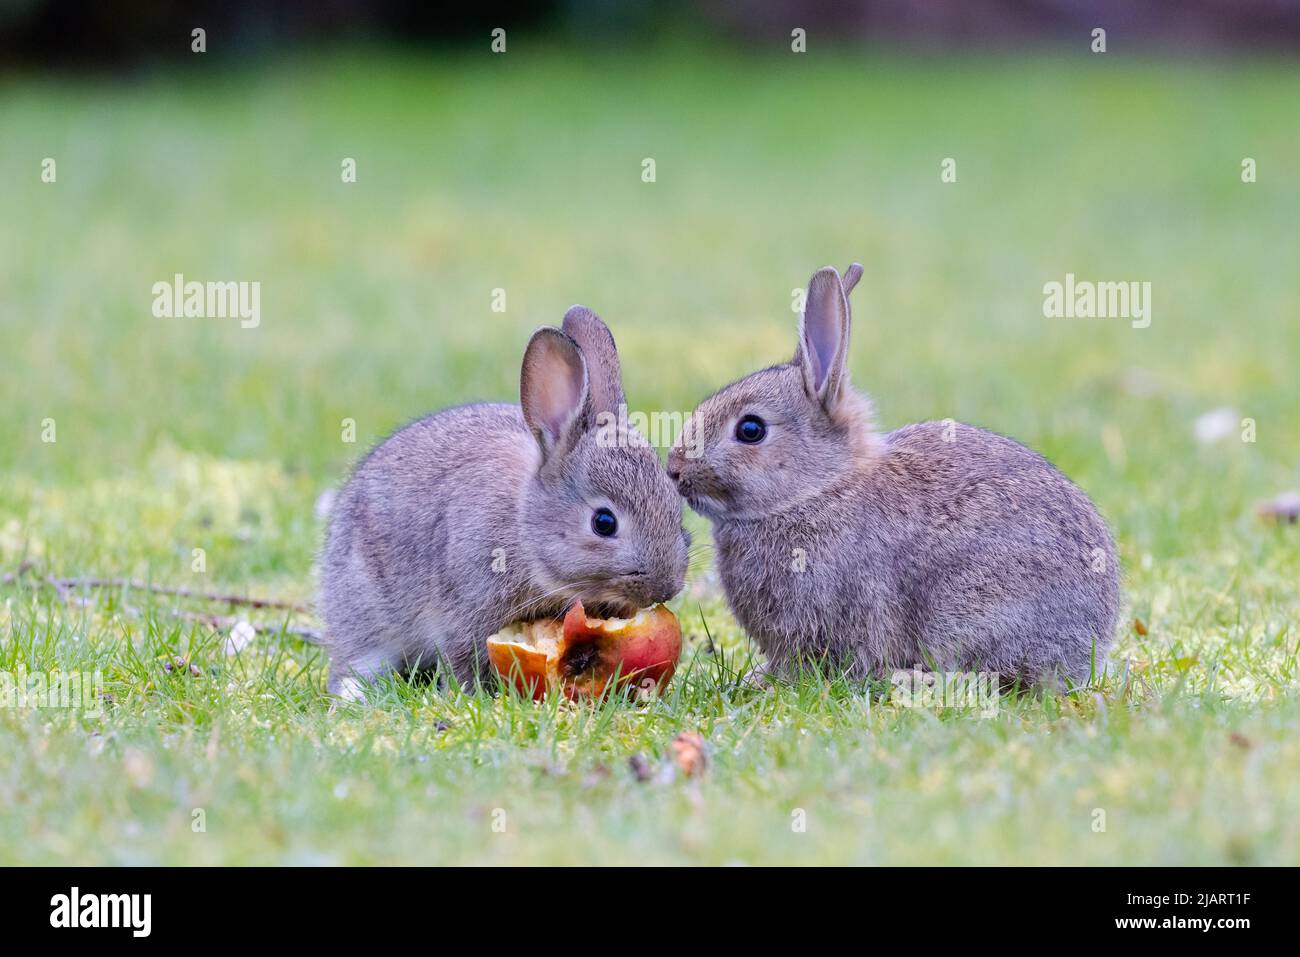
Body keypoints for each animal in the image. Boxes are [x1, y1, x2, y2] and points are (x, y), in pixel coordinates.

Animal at [318, 306, 689, 699]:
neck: (524, 526)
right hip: (364, 610)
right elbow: (462, 656)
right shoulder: (463, 612)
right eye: (603, 523)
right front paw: (470, 694)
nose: (667, 587)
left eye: (675, 510)